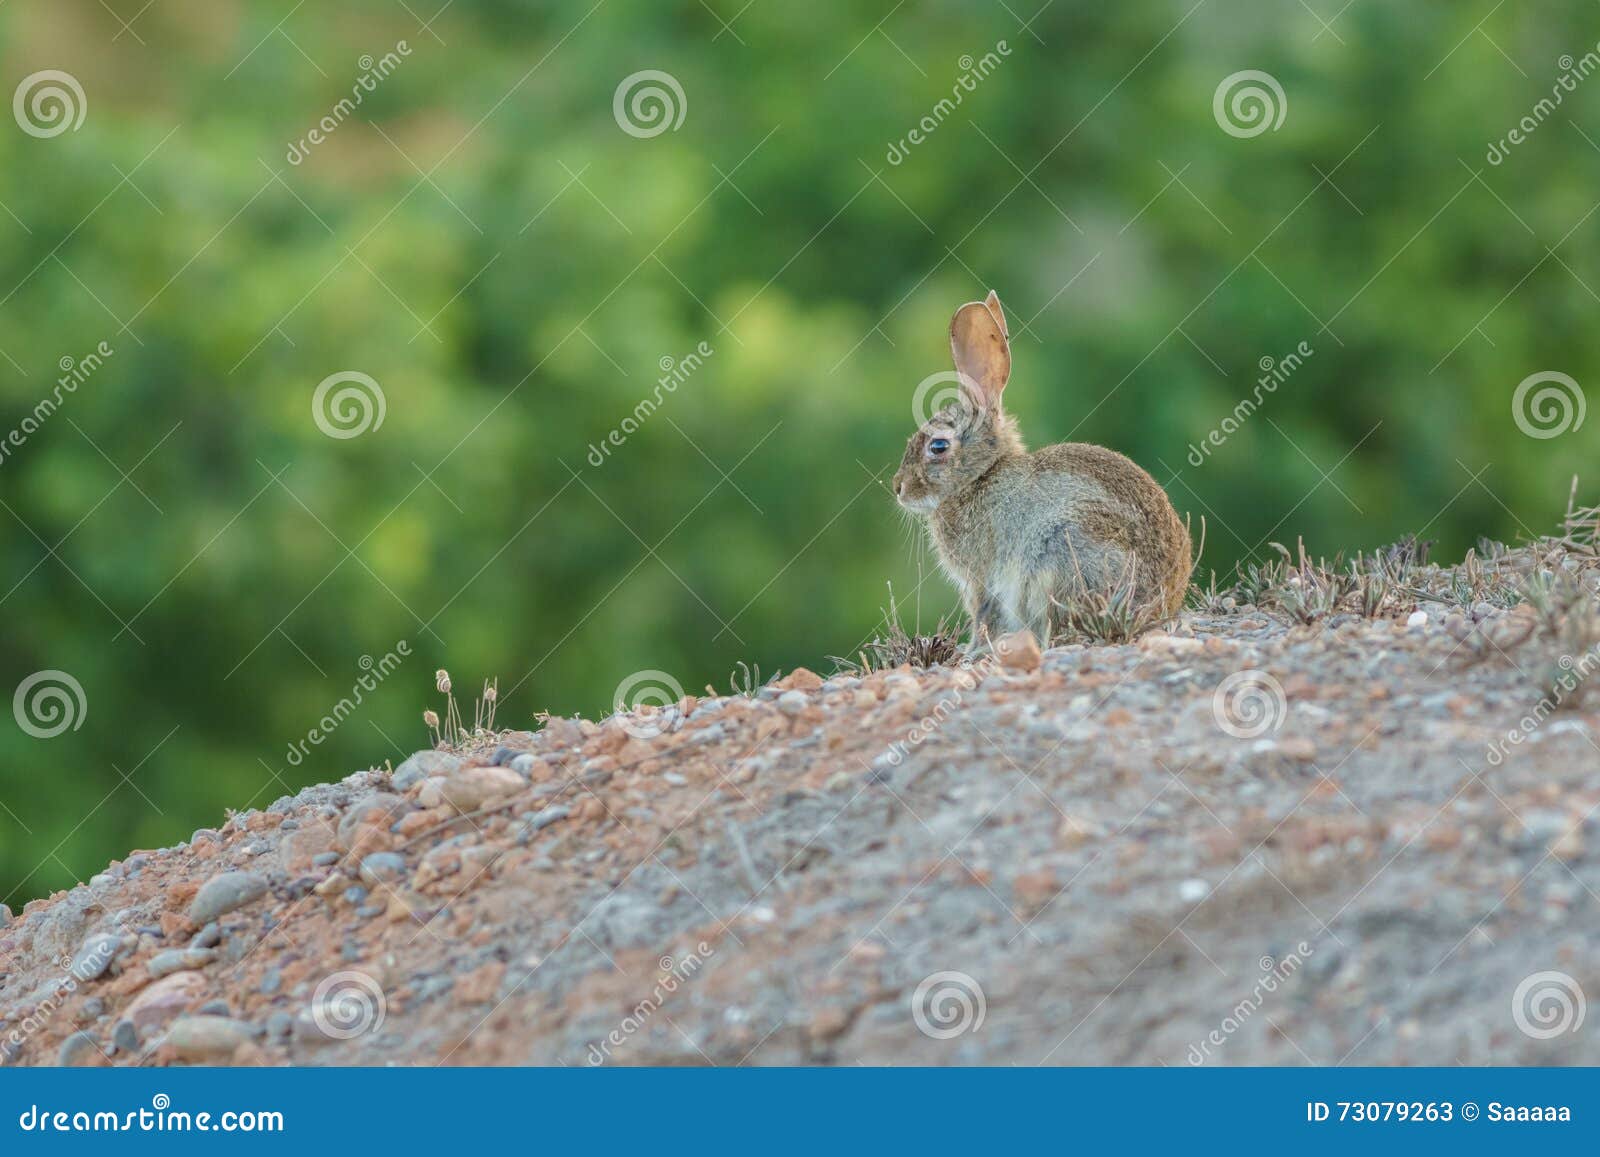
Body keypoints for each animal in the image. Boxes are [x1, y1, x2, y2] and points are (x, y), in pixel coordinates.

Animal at [892, 290, 1192, 647]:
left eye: (937, 446)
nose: (898, 487)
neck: (980, 477)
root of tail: (1162, 601)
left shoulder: (982, 579)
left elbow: (982, 616)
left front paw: (973, 651)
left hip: (1061, 550)